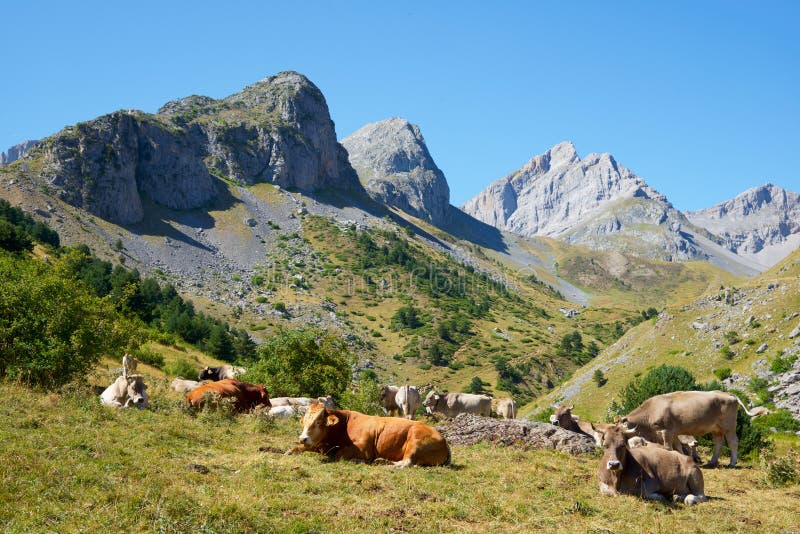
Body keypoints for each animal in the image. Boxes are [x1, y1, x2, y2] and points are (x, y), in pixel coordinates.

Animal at [285, 403, 450, 467]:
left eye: (319, 422)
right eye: (304, 422)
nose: (303, 438)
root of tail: (443, 439)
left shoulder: (363, 448)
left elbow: (340, 455)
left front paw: (358, 460)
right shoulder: (318, 445)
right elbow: (298, 448)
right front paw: (290, 451)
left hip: (415, 441)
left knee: (406, 463)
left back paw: (382, 462)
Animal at [620, 390, 767, 467]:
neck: (651, 410)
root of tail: (728, 394)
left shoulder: (666, 431)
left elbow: (668, 447)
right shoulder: (674, 432)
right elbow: (679, 447)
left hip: (729, 425)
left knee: (733, 442)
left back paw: (732, 463)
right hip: (717, 428)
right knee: (718, 444)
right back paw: (712, 462)